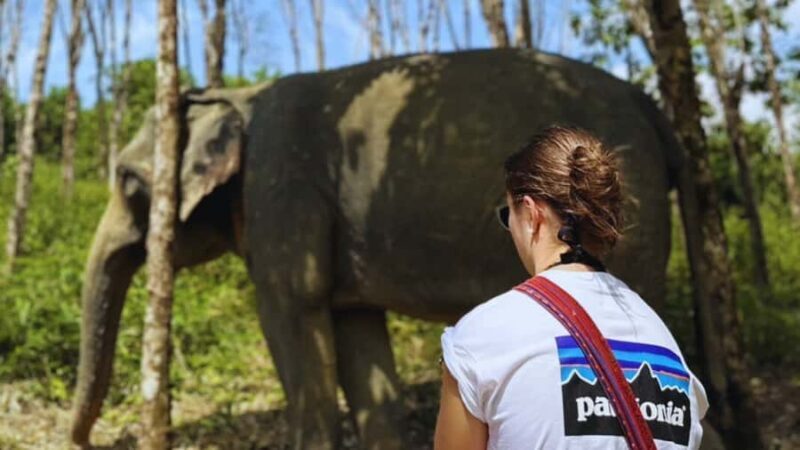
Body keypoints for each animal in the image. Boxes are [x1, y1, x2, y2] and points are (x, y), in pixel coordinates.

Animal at [71, 47, 681, 449]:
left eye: (127, 180)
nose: (81, 441)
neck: (239, 99)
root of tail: (647, 101)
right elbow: (358, 337)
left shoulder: (281, 188)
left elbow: (293, 312)